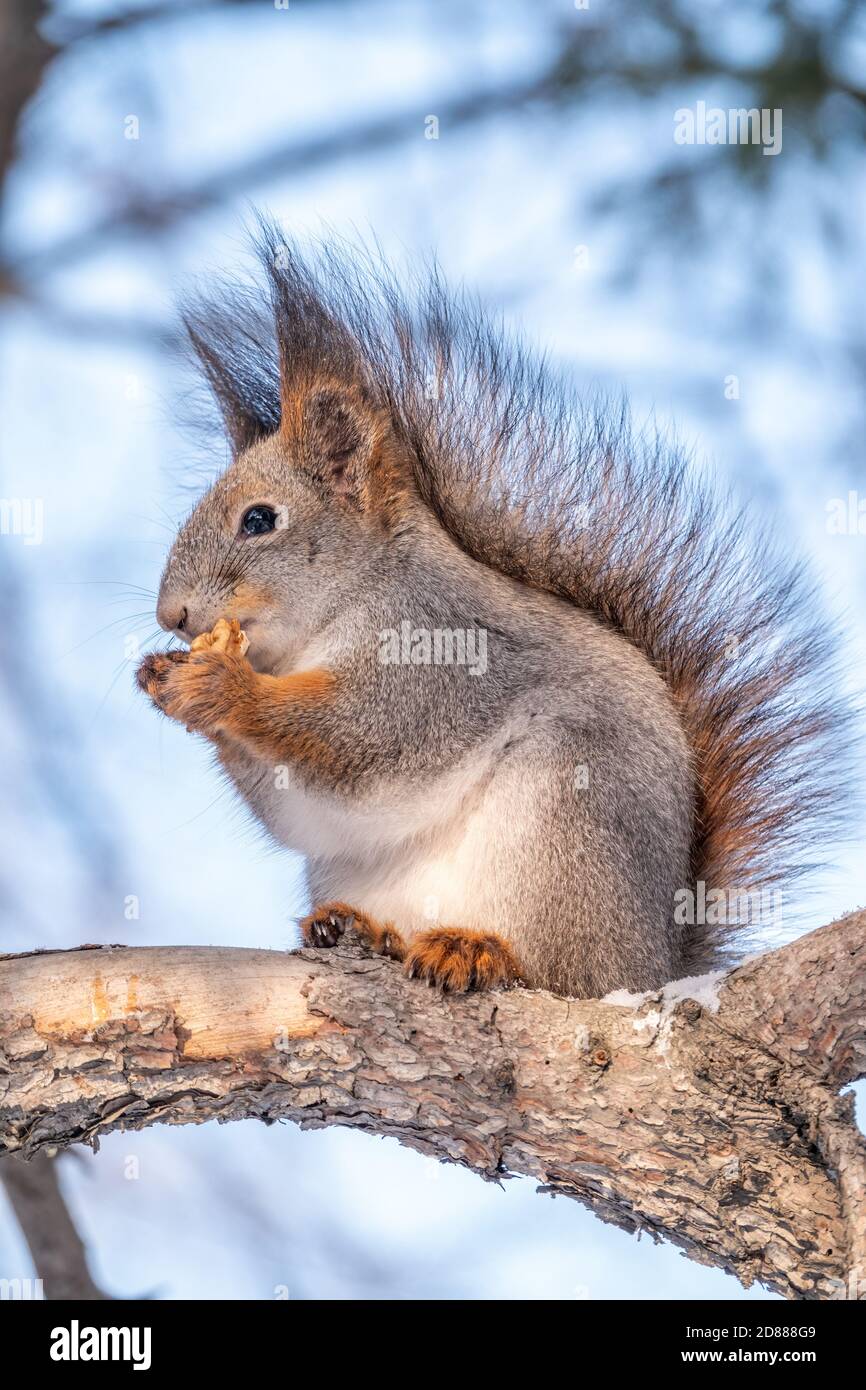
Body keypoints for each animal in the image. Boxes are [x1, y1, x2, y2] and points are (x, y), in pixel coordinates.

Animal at [137, 224, 853, 998]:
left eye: (260, 520)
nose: (172, 615)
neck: (332, 617)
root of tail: (654, 967)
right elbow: (298, 809)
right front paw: (161, 678)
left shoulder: (442, 653)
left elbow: (364, 738)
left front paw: (221, 687)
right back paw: (363, 929)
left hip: (567, 828)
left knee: (562, 972)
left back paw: (479, 951)